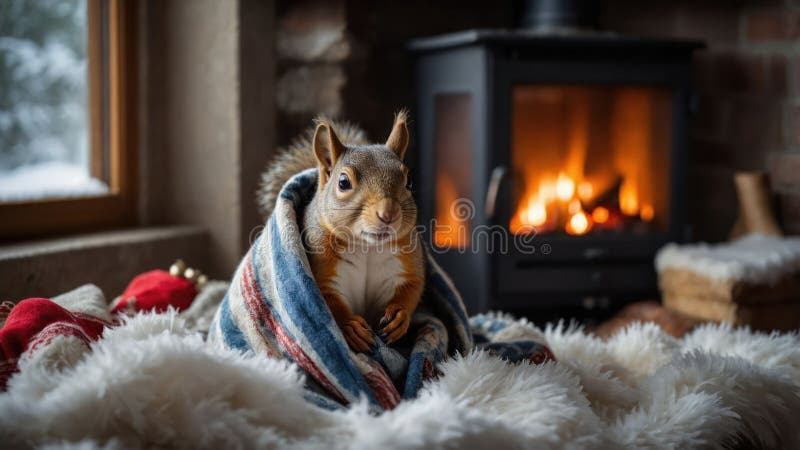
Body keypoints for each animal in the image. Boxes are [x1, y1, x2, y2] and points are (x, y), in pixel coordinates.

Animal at [257, 111, 424, 353]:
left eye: (409, 181)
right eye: (343, 182)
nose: (388, 213)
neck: (367, 247)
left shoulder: (405, 264)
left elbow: (411, 288)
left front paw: (399, 316)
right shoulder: (322, 271)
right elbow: (330, 304)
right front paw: (350, 326)